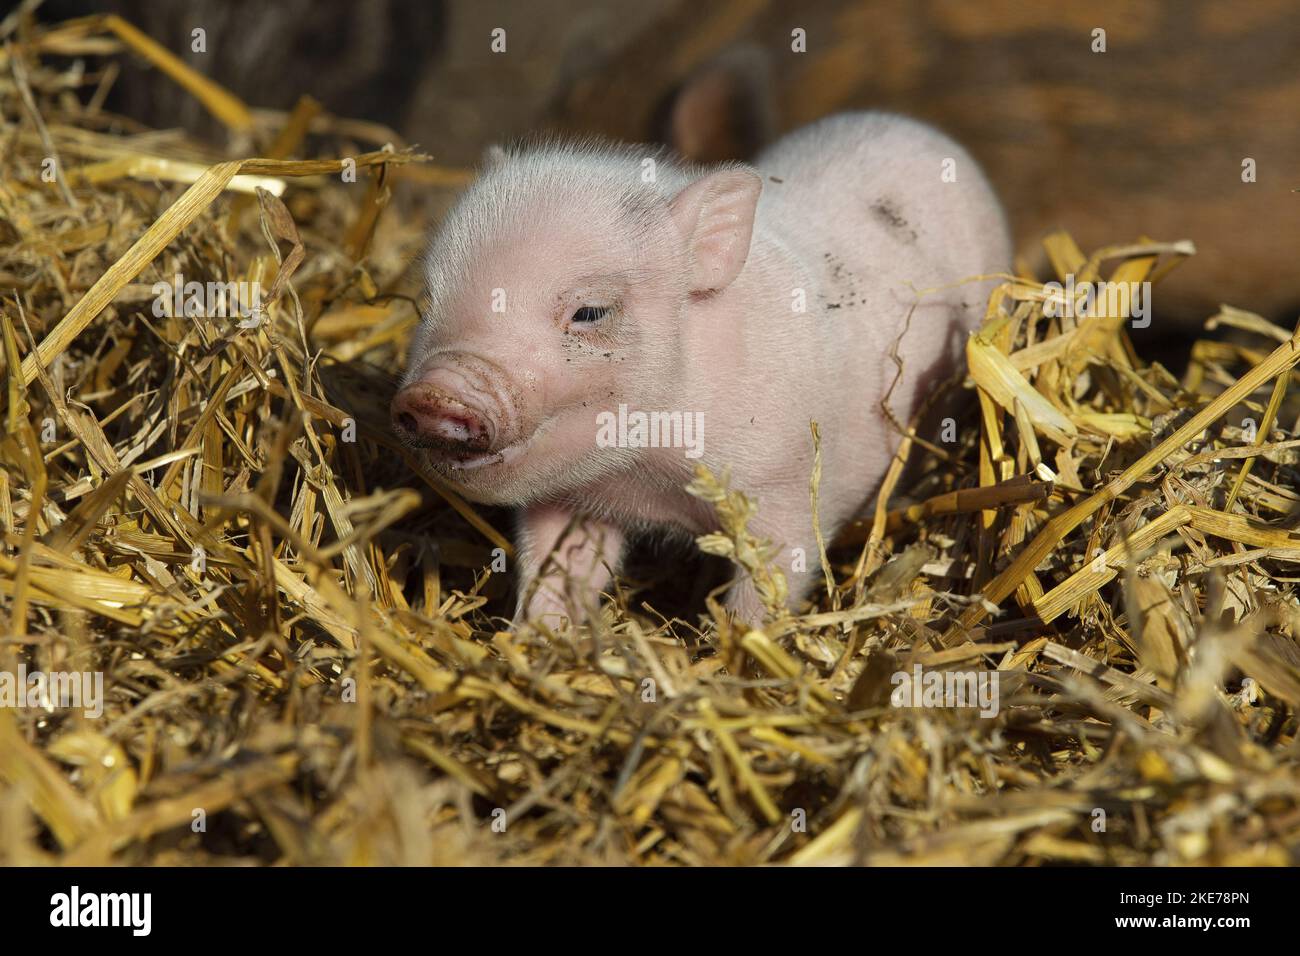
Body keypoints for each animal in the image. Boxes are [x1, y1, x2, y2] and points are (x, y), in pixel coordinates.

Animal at [393, 111, 1011, 627]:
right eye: (429, 297)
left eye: (590, 312)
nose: (435, 395)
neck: (647, 480)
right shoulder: (568, 502)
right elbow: (557, 570)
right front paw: (534, 638)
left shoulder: (782, 484)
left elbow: (770, 581)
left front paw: (740, 648)